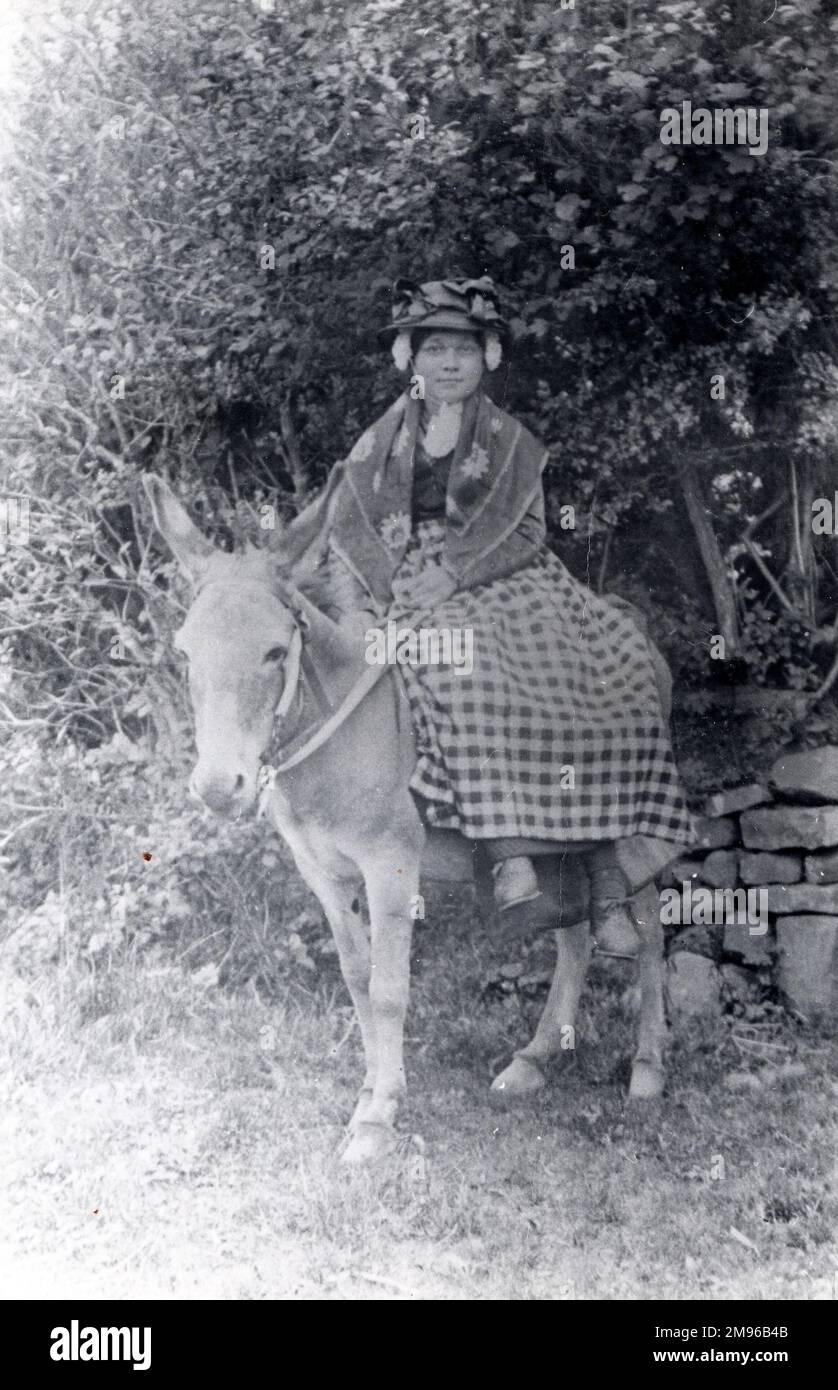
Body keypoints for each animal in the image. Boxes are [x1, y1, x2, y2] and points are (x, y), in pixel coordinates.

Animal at [144, 475, 671, 1163]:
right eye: (185, 652)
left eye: (275, 651)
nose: (217, 788)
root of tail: (633, 624)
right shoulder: (324, 874)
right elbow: (358, 978)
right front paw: (371, 1092)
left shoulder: (390, 866)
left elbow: (391, 990)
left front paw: (377, 1120)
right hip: (560, 835)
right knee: (574, 936)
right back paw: (533, 1058)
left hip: (634, 826)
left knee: (652, 932)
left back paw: (648, 1068)